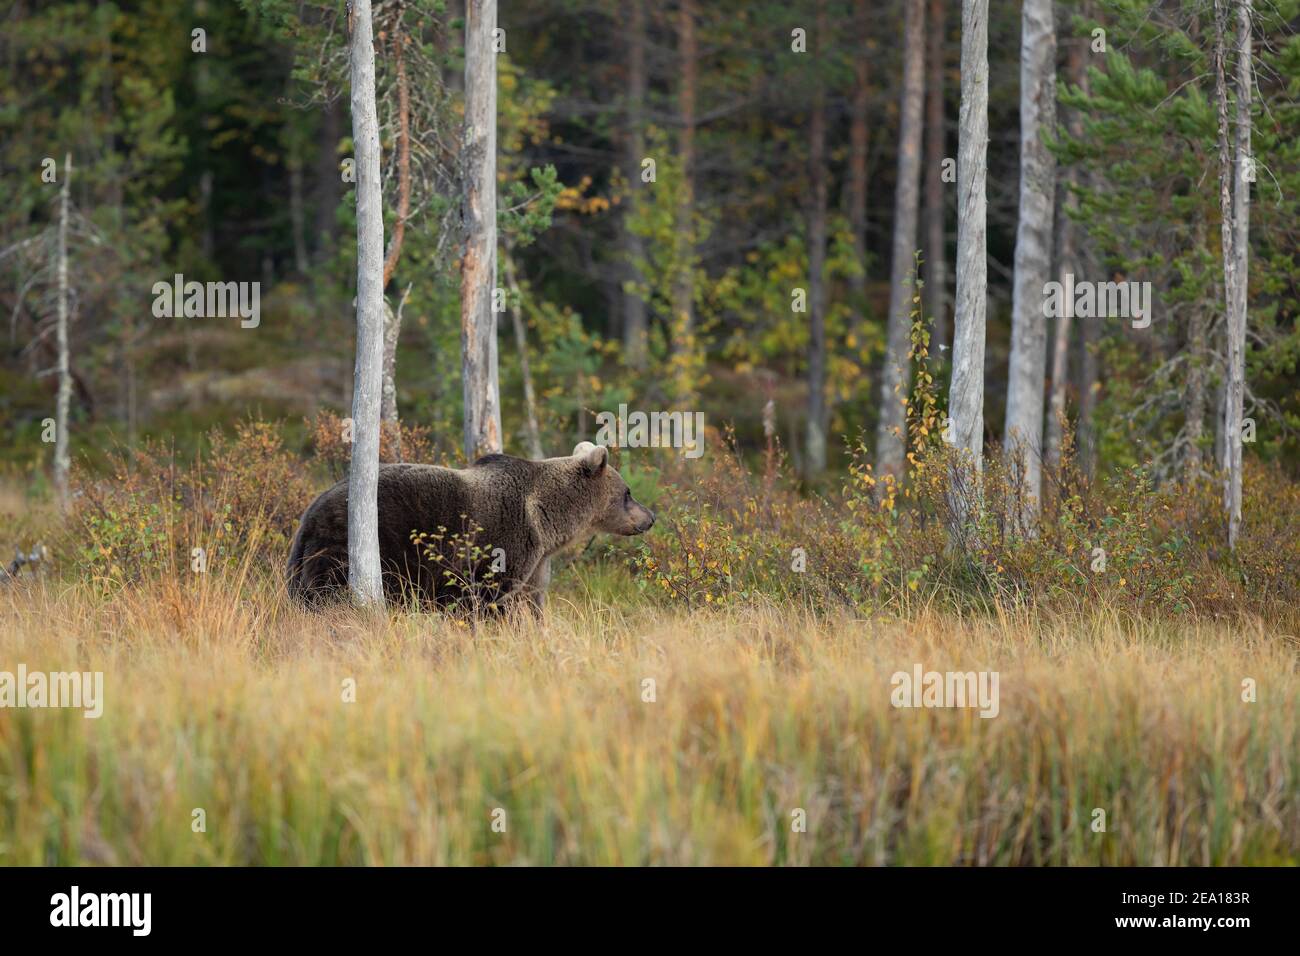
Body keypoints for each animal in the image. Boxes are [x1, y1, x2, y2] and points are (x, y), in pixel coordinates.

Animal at [285, 441, 654, 610]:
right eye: (628, 492)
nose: (650, 517)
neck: (547, 522)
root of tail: (310, 511)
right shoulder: (505, 543)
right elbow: (485, 600)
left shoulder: (536, 561)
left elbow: (530, 601)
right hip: (351, 546)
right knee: (328, 592)